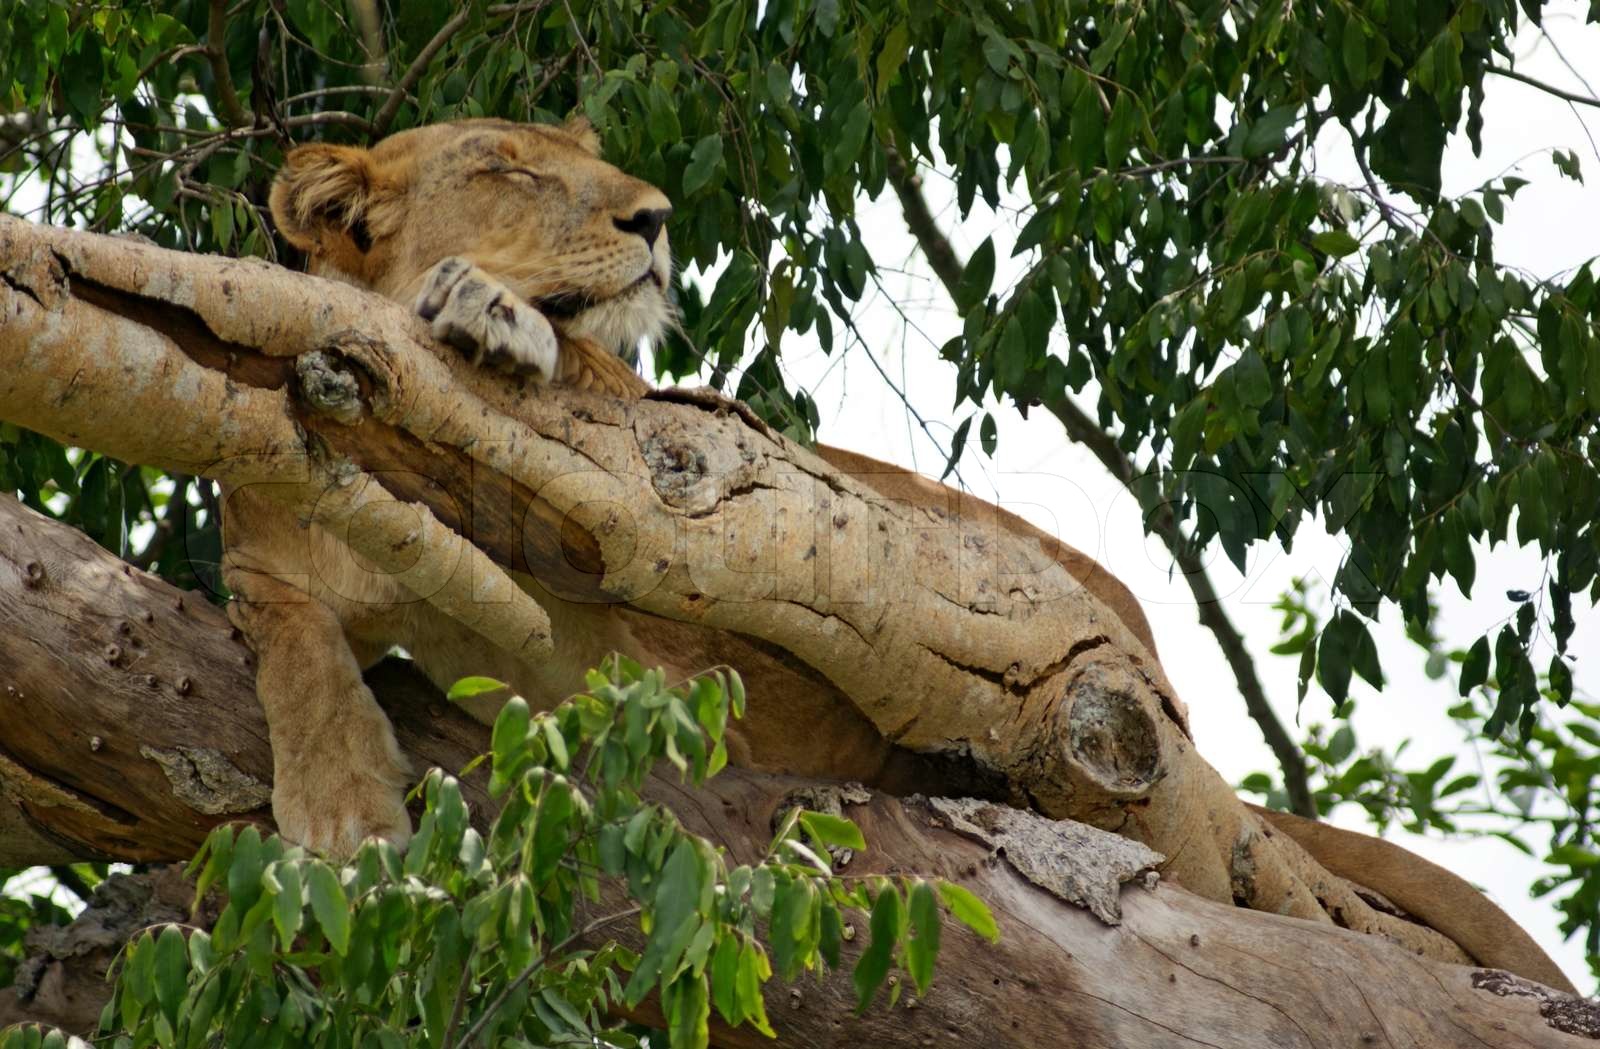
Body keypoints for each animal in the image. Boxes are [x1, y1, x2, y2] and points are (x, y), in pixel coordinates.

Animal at [236, 116, 1572, 992]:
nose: (654, 218)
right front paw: (342, 806)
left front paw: (494, 320)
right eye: (505, 168)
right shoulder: (270, 530)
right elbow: (286, 635)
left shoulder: (645, 539)